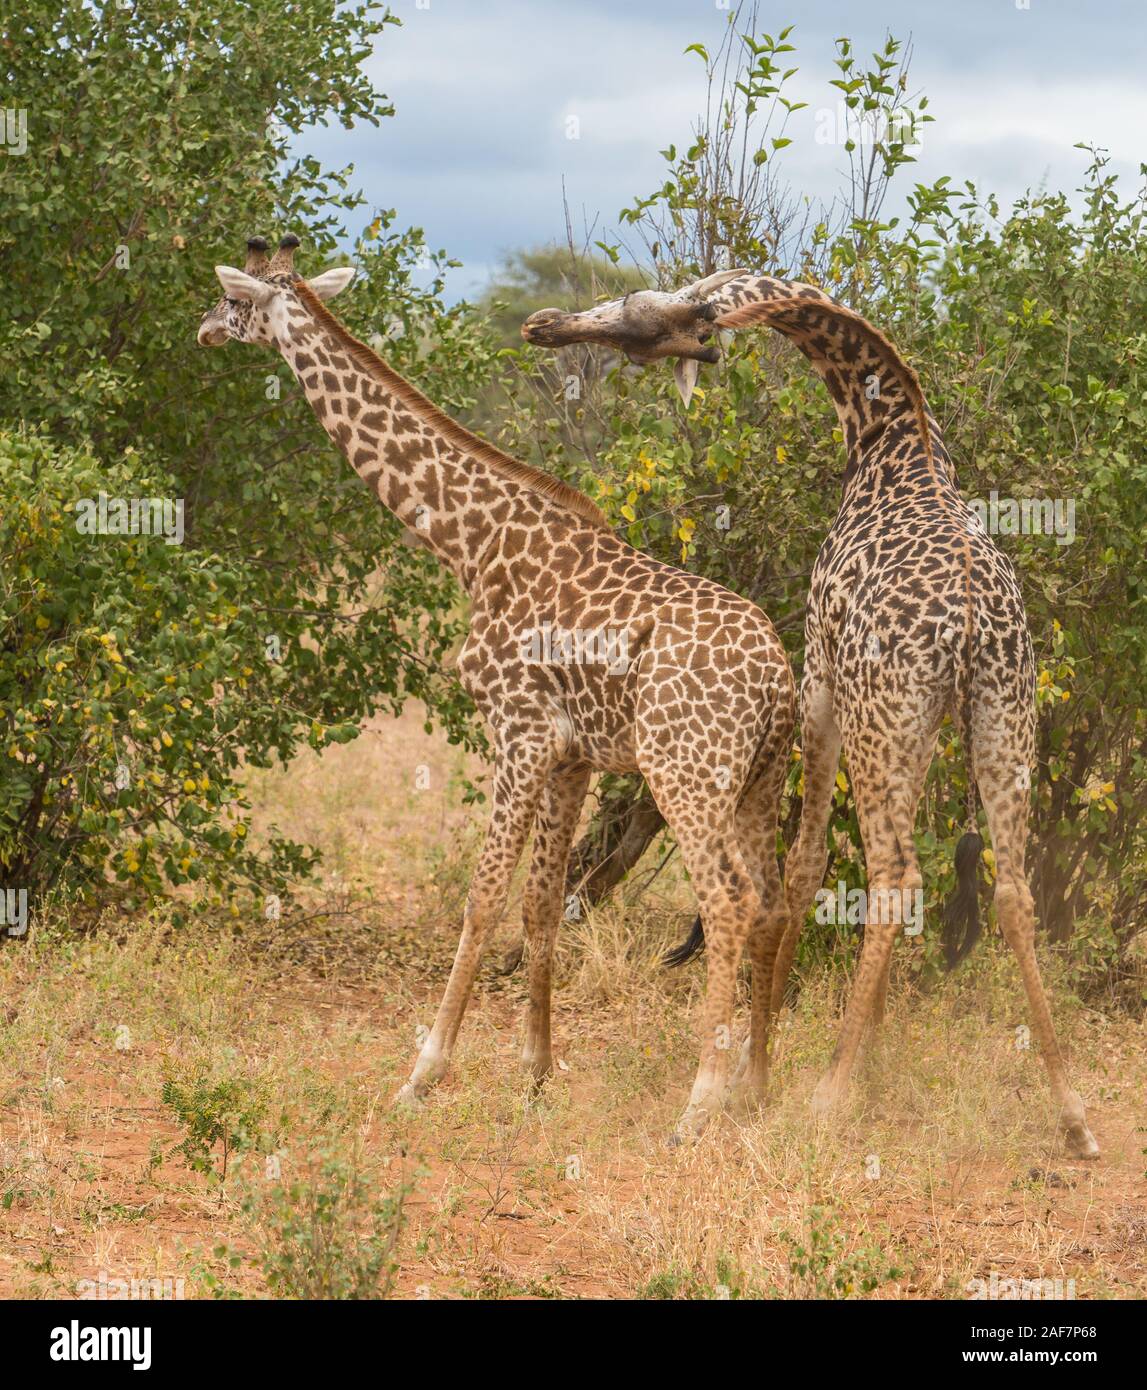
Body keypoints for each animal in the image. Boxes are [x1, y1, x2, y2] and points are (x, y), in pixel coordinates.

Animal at [197, 237, 796, 1138]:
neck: (469, 542)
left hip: (686, 774)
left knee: (728, 900)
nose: (202, 330)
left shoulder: (519, 733)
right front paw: (535, 1073)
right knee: (775, 901)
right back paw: (754, 1089)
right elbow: (542, 905)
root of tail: (782, 681)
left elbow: (480, 901)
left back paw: (697, 1107)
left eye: (233, 301)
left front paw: (421, 1075)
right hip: (759, 780)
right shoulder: (573, 756)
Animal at [522, 273, 1099, 1158]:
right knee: (1010, 890)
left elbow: (800, 866)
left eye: (632, 313)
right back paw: (1070, 1114)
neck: (887, 439)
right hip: (1000, 716)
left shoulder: (822, 684)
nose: (544, 324)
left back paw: (826, 1094)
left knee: (894, 876)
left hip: (883, 715)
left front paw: (765, 1074)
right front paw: (874, 1063)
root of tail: (969, 623)